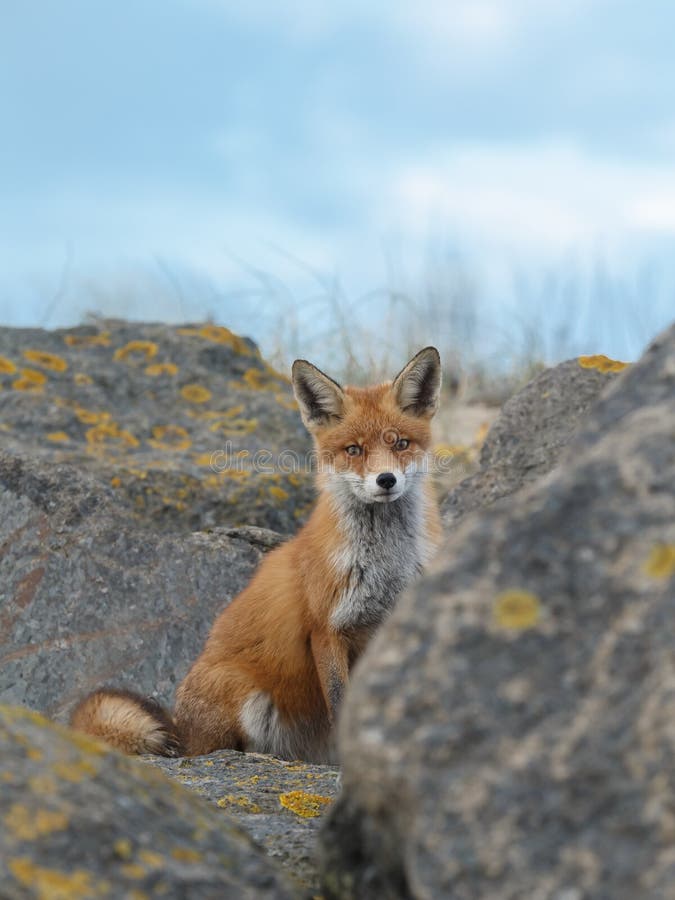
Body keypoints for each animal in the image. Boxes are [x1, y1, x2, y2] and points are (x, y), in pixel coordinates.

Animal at [70, 346, 443, 763]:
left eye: (400, 444)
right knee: (215, 750)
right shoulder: (325, 629)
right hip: (246, 697)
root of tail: (181, 729)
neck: (385, 567)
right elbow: (341, 702)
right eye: (354, 450)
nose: (386, 480)